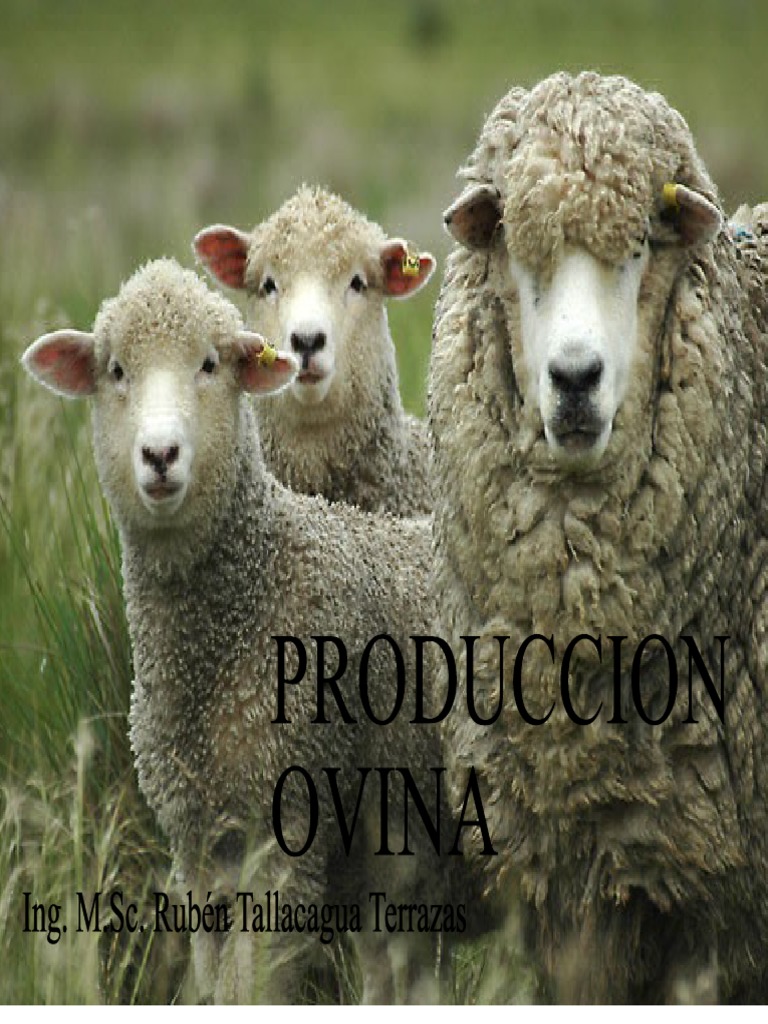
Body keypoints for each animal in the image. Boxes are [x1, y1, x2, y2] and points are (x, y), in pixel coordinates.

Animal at [21, 258, 461, 1005]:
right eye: (116, 370)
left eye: (209, 364)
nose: (160, 454)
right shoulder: (199, 848)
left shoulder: (284, 834)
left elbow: (251, 991)